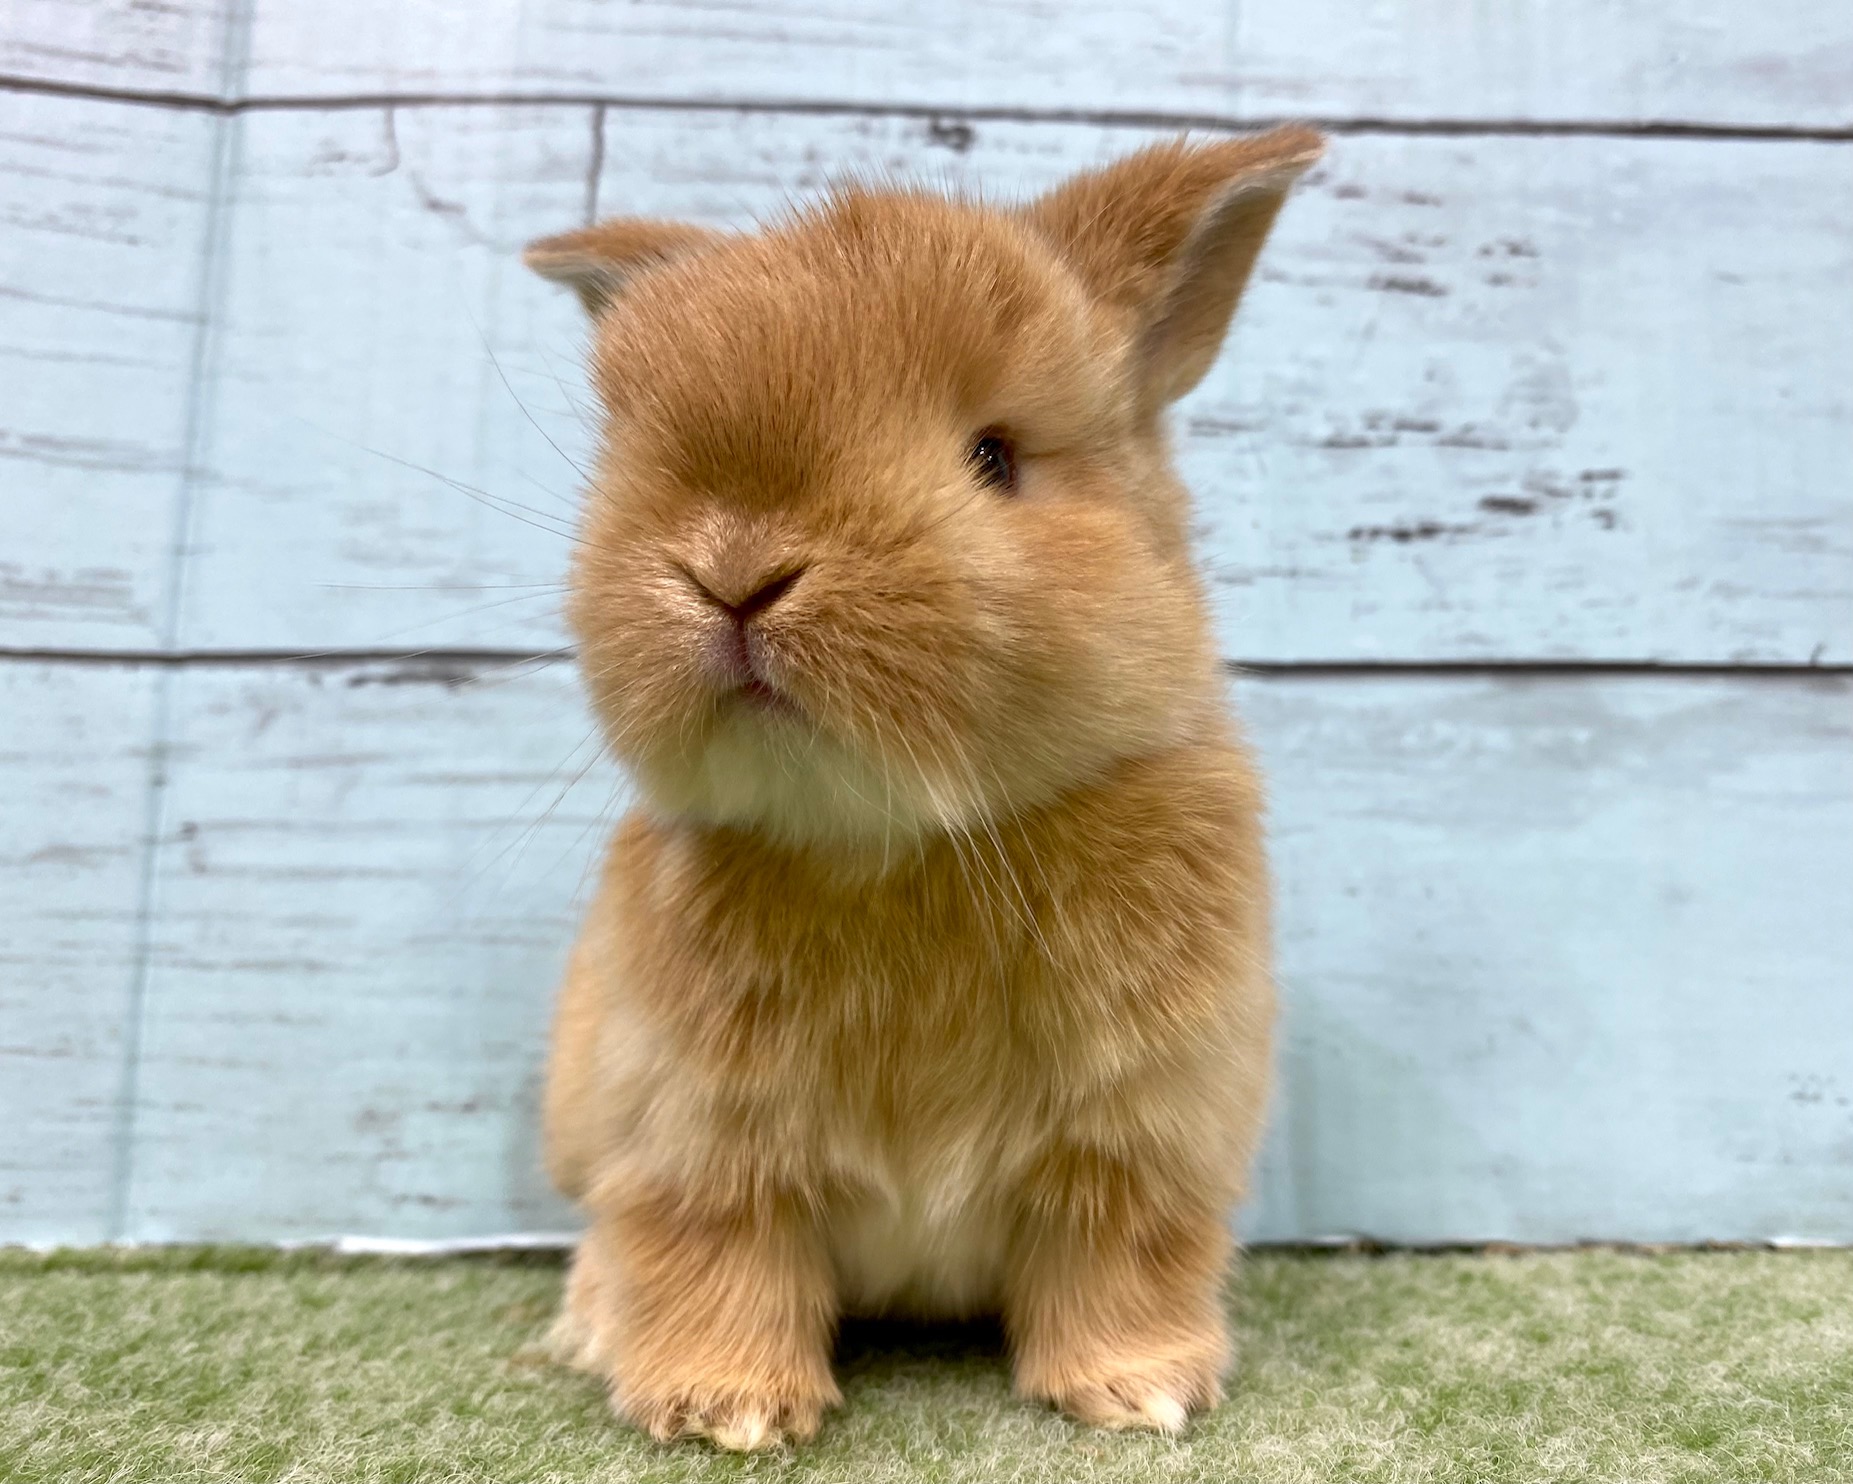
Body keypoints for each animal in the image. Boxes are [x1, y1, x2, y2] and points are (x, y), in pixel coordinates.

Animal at [522, 125, 1323, 1451]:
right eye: (638, 452)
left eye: (993, 456)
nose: (734, 568)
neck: (902, 843)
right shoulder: (695, 1142)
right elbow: (710, 1254)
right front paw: (727, 1407)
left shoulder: (1140, 1143)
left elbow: (1123, 1259)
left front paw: (1137, 1390)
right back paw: (590, 1326)